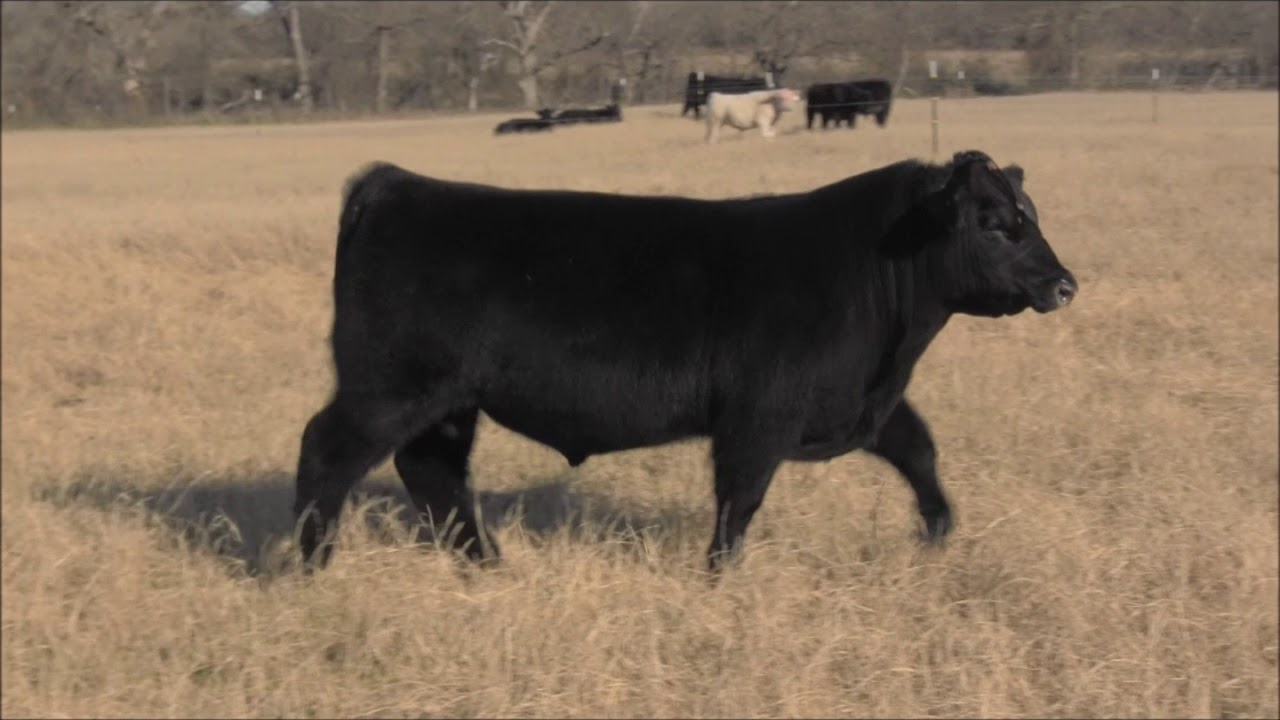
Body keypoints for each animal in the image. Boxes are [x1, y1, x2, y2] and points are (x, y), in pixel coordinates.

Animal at [293, 150, 1078, 574]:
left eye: (1032, 215)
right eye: (995, 224)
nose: (1063, 284)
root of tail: (394, 183)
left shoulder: (862, 402)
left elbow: (919, 449)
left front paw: (938, 535)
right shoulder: (760, 417)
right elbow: (740, 499)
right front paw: (717, 579)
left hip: (448, 401)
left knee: (433, 471)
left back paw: (484, 563)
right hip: (389, 386)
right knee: (327, 449)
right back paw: (309, 563)